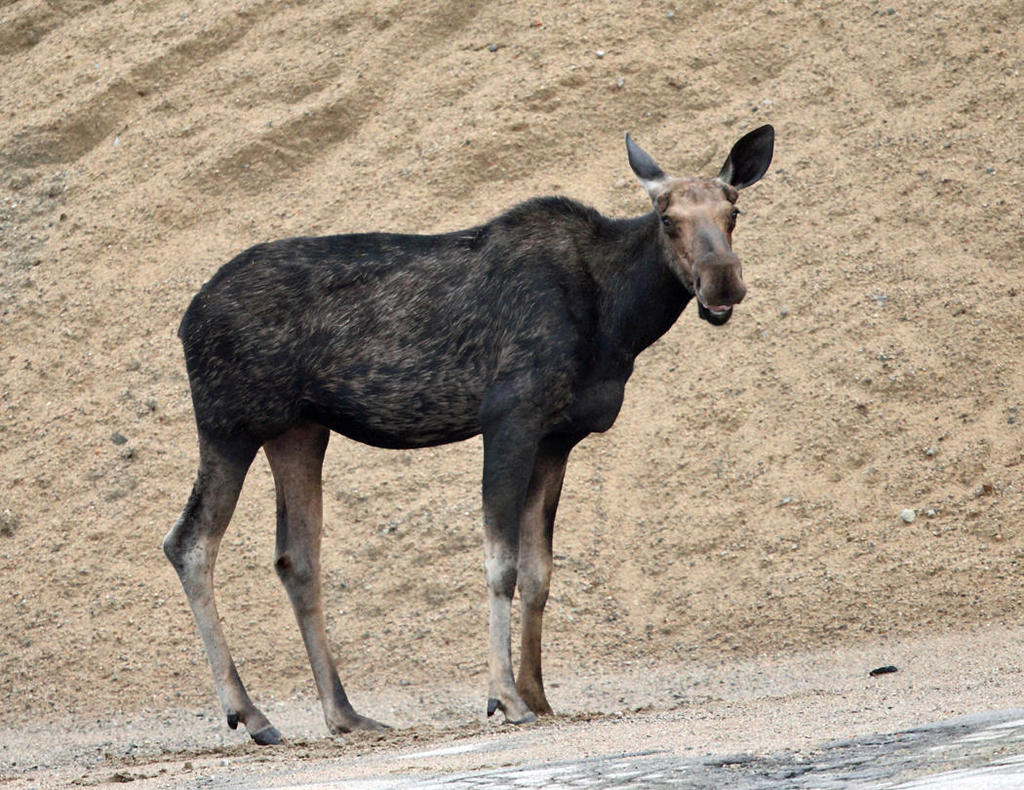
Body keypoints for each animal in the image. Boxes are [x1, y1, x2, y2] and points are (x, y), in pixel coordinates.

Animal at [163, 126, 775, 744]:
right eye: (667, 218)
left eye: (733, 212)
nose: (723, 280)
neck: (619, 321)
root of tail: (186, 319)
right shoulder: (509, 415)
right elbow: (500, 563)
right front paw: (505, 696)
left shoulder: (559, 436)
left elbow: (538, 571)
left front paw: (538, 693)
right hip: (229, 423)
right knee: (190, 543)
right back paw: (249, 712)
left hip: (299, 429)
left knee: (297, 557)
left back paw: (344, 713)